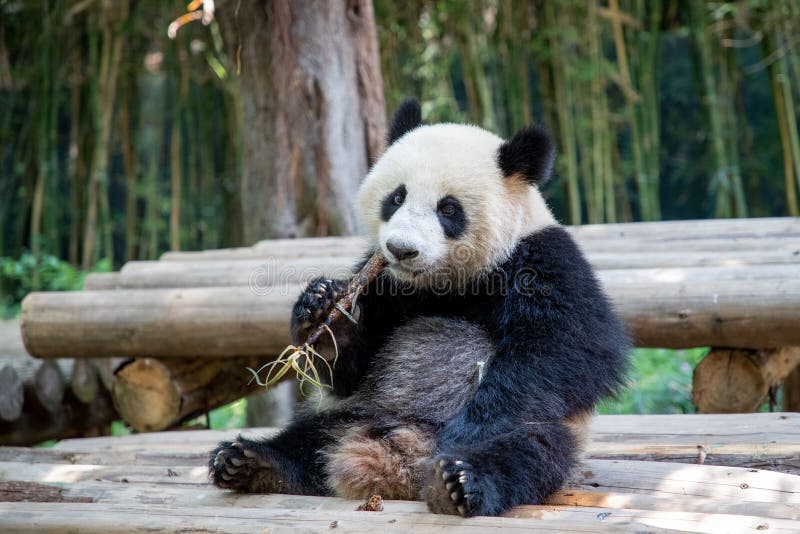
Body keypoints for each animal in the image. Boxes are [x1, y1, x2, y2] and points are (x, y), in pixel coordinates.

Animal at [209, 99, 630, 517]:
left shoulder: (542, 262)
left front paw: (467, 432)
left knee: (529, 450)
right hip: (355, 412)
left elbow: (564, 353)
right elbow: (350, 370)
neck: (443, 283)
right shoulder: (382, 282)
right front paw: (322, 310)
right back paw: (249, 462)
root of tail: (398, 459)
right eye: (397, 197)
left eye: (449, 209)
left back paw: (458, 482)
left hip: (548, 433)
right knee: (308, 438)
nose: (401, 249)